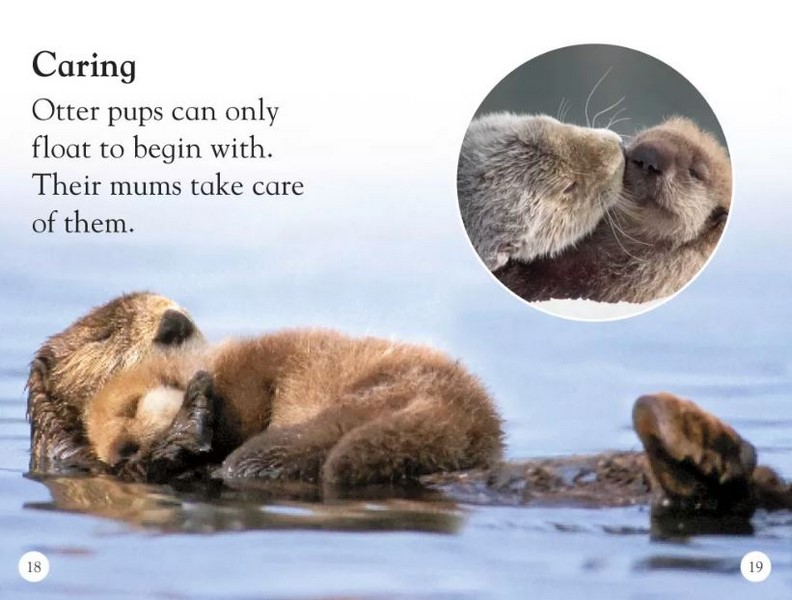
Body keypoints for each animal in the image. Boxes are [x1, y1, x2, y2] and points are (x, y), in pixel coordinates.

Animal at [82, 330, 505, 486]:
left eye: (130, 408)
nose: (123, 450)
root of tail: (467, 414)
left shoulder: (246, 371)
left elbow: (249, 398)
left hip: (362, 404)